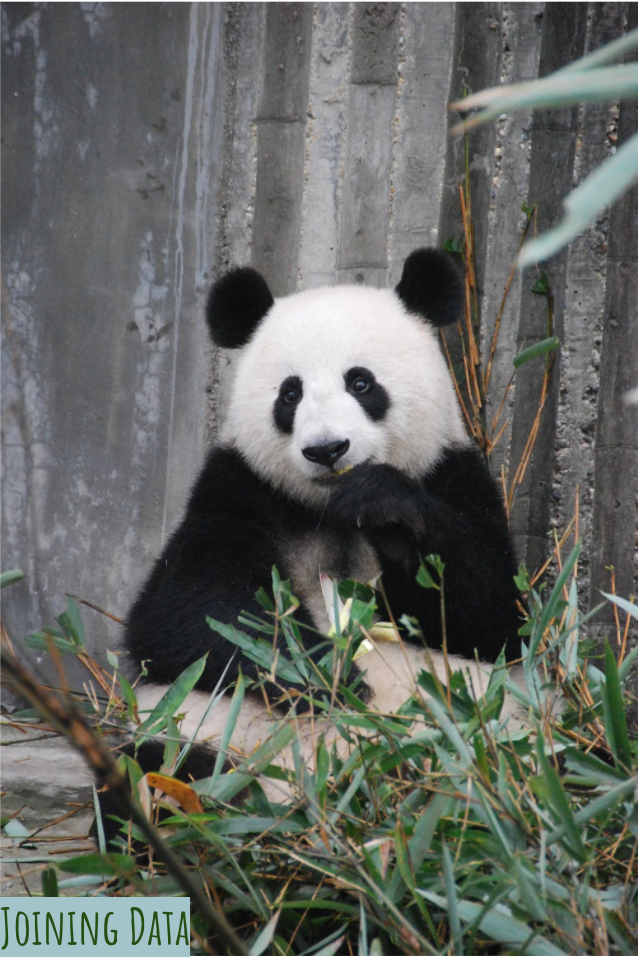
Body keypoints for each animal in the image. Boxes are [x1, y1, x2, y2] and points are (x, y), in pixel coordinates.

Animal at [121, 248, 522, 802]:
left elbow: (492, 617)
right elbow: (185, 615)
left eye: (361, 382)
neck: (329, 508)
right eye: (290, 394)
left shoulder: (452, 475)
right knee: (153, 770)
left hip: (484, 742)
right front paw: (329, 674)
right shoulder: (237, 491)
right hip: (193, 730)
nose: (327, 449)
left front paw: (388, 513)